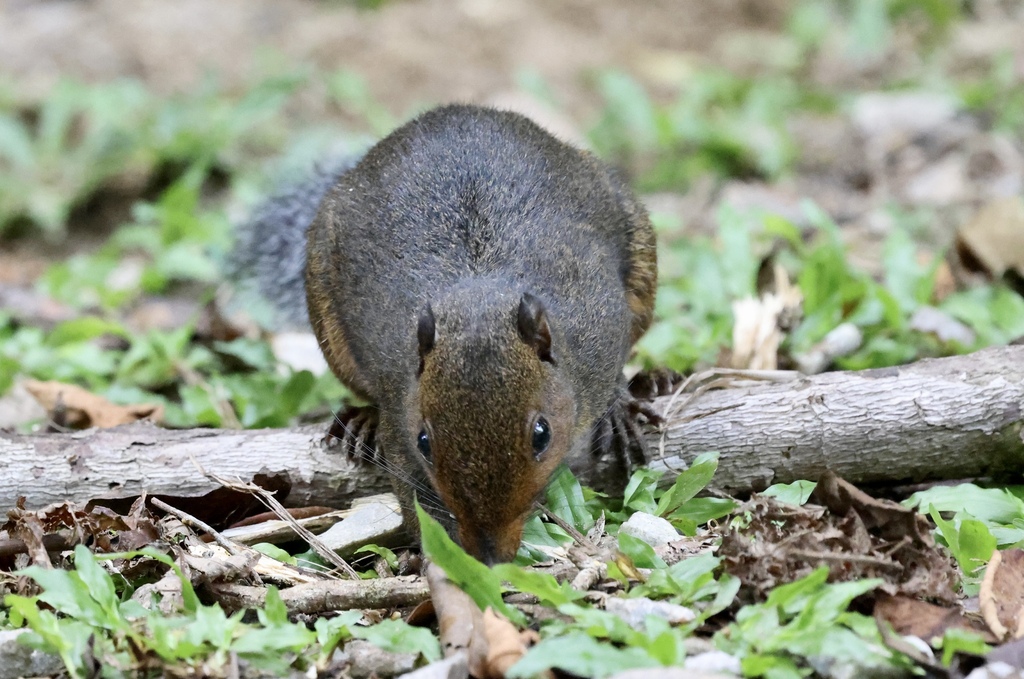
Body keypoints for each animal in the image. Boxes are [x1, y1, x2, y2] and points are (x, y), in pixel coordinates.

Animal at [233, 104, 658, 565]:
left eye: (541, 434)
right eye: (424, 441)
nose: (490, 554)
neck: (478, 295)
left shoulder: (599, 333)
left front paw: (619, 408)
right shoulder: (401, 405)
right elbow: (412, 488)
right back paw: (362, 421)